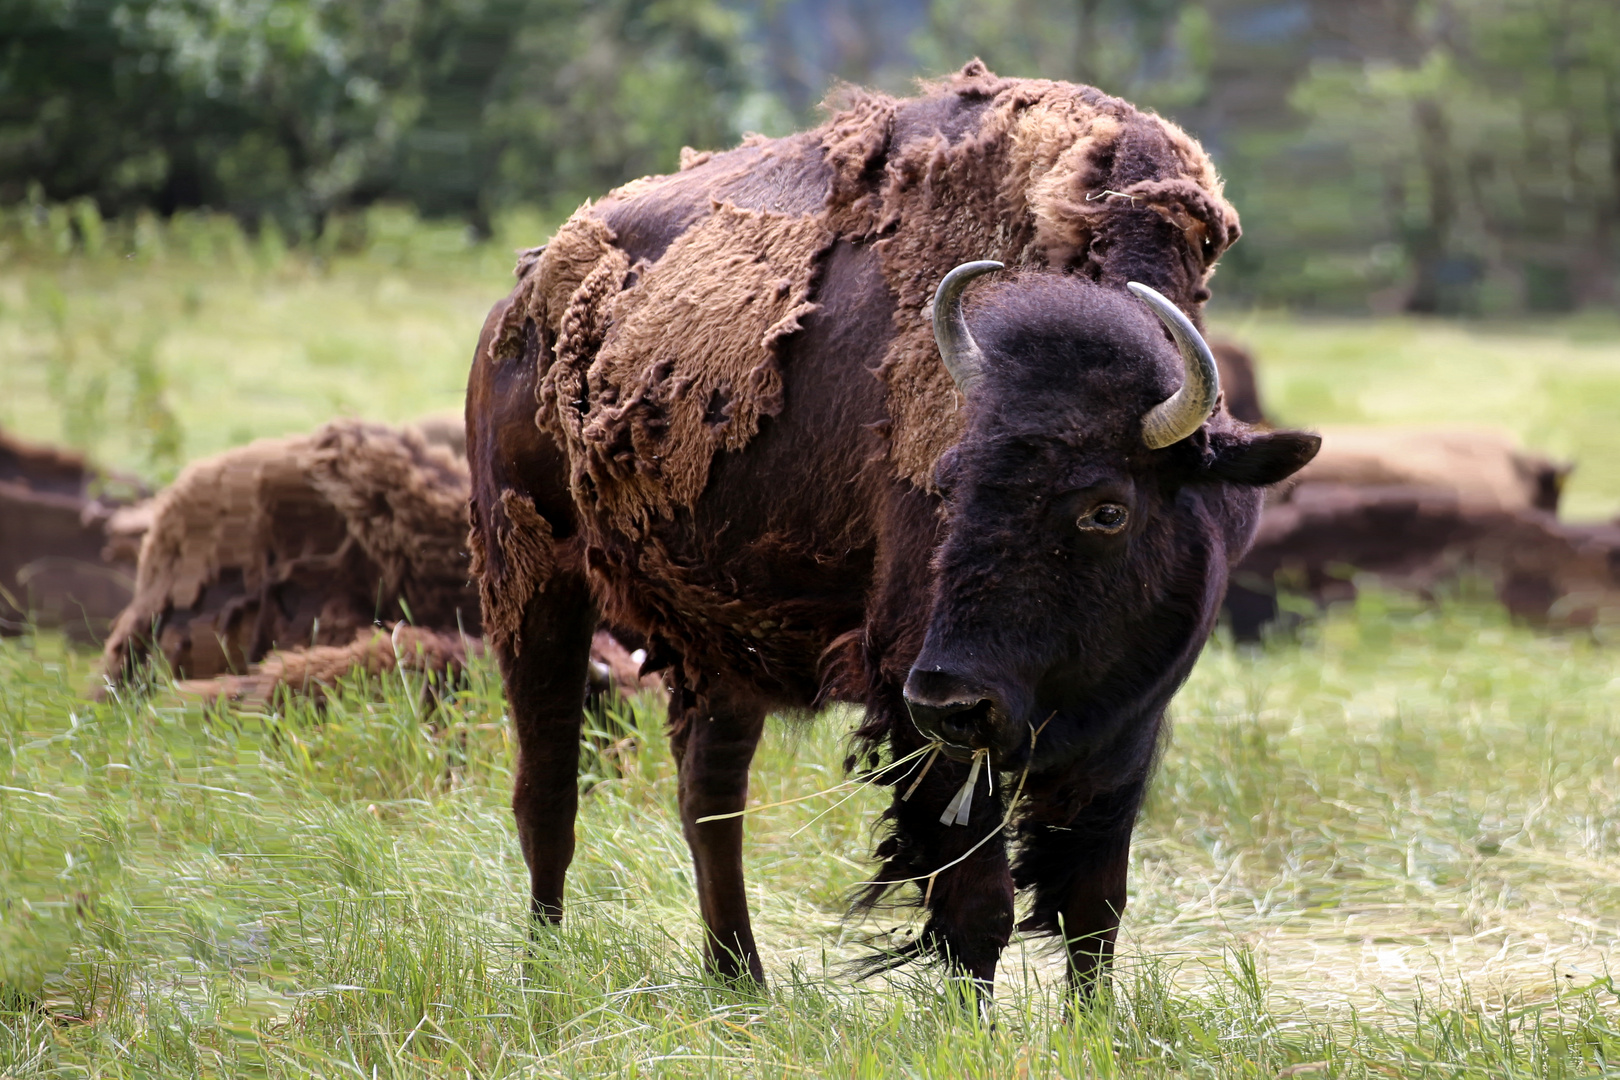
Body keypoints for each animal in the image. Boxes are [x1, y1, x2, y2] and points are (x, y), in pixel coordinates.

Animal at [466, 64, 1320, 1000]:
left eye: (1107, 508)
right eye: (944, 485)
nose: (954, 696)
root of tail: (519, 302)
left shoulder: (1125, 728)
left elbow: (1094, 906)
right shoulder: (922, 712)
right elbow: (976, 902)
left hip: (721, 645)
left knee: (709, 798)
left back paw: (741, 982)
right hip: (533, 587)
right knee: (548, 790)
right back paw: (543, 974)